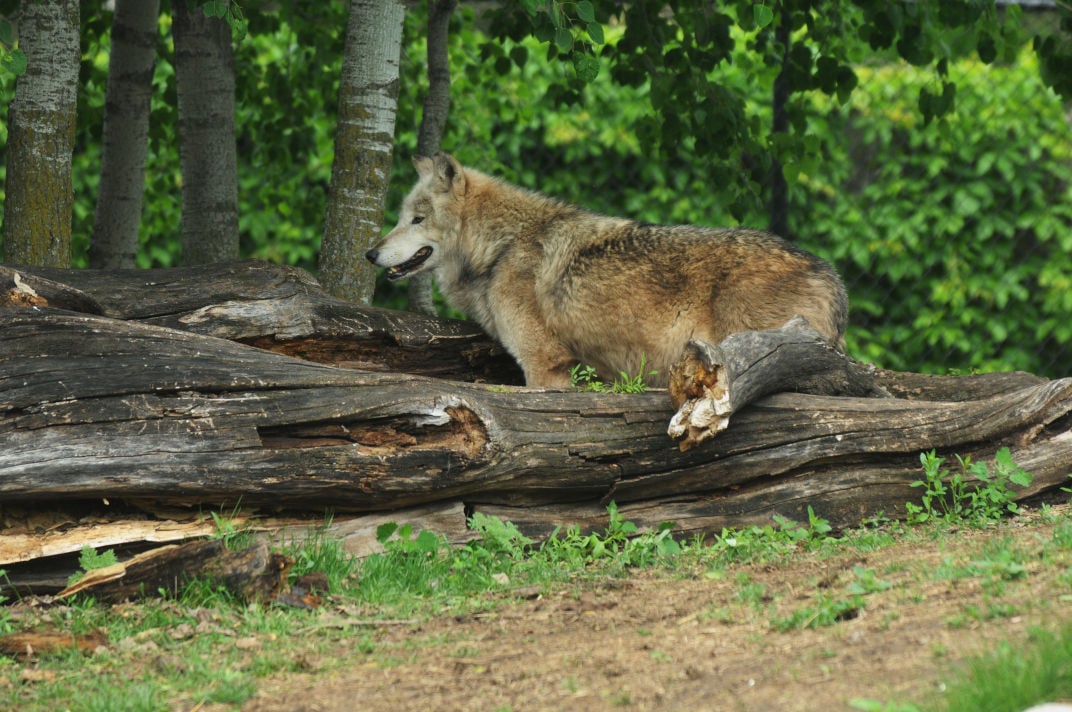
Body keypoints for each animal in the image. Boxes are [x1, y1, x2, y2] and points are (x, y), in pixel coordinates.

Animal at [366, 153, 848, 389]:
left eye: (416, 219)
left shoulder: (545, 367)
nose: (371, 253)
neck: (500, 247)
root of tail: (829, 273)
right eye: (403, 217)